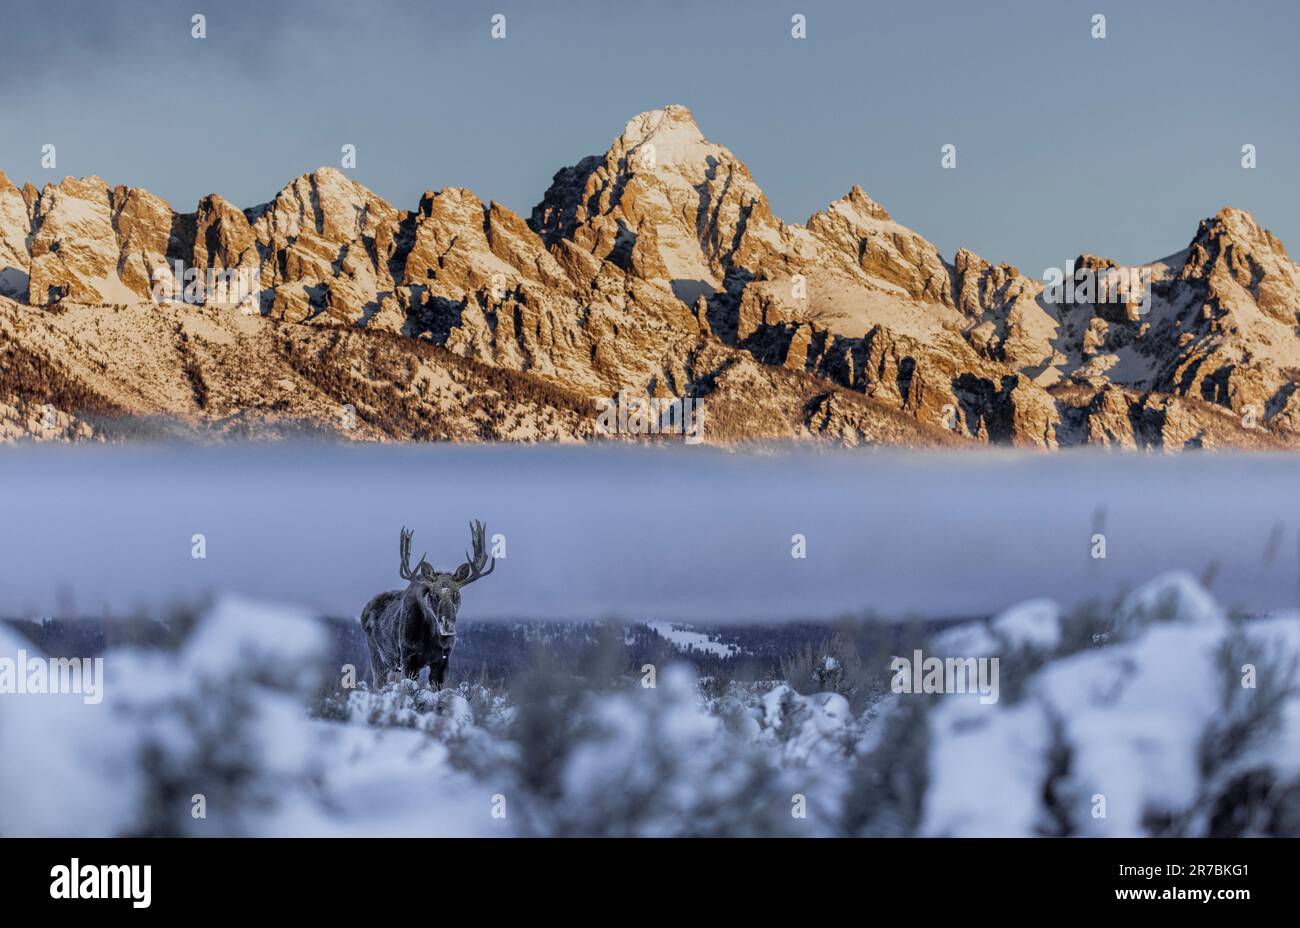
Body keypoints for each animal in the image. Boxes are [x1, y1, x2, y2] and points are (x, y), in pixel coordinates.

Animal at [360, 521, 496, 690]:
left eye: (456, 594)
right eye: (434, 595)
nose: (448, 626)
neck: (432, 638)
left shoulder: (443, 660)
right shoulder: (408, 658)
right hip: (377, 656)